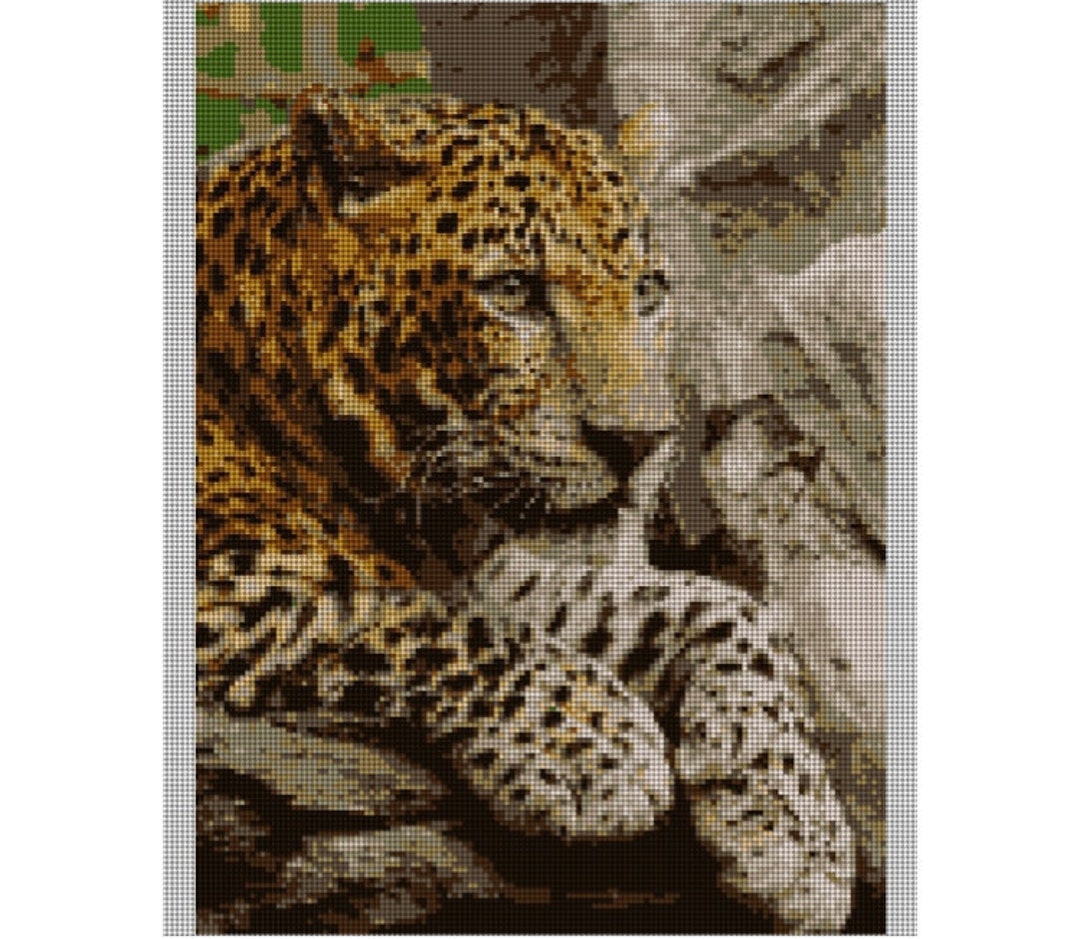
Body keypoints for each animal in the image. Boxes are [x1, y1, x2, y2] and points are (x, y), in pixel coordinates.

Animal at [195, 85, 854, 933]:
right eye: (513, 292)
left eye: (648, 292)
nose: (640, 442)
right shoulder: (229, 584)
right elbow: (410, 615)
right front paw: (599, 739)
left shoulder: (498, 569)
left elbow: (719, 604)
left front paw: (801, 831)